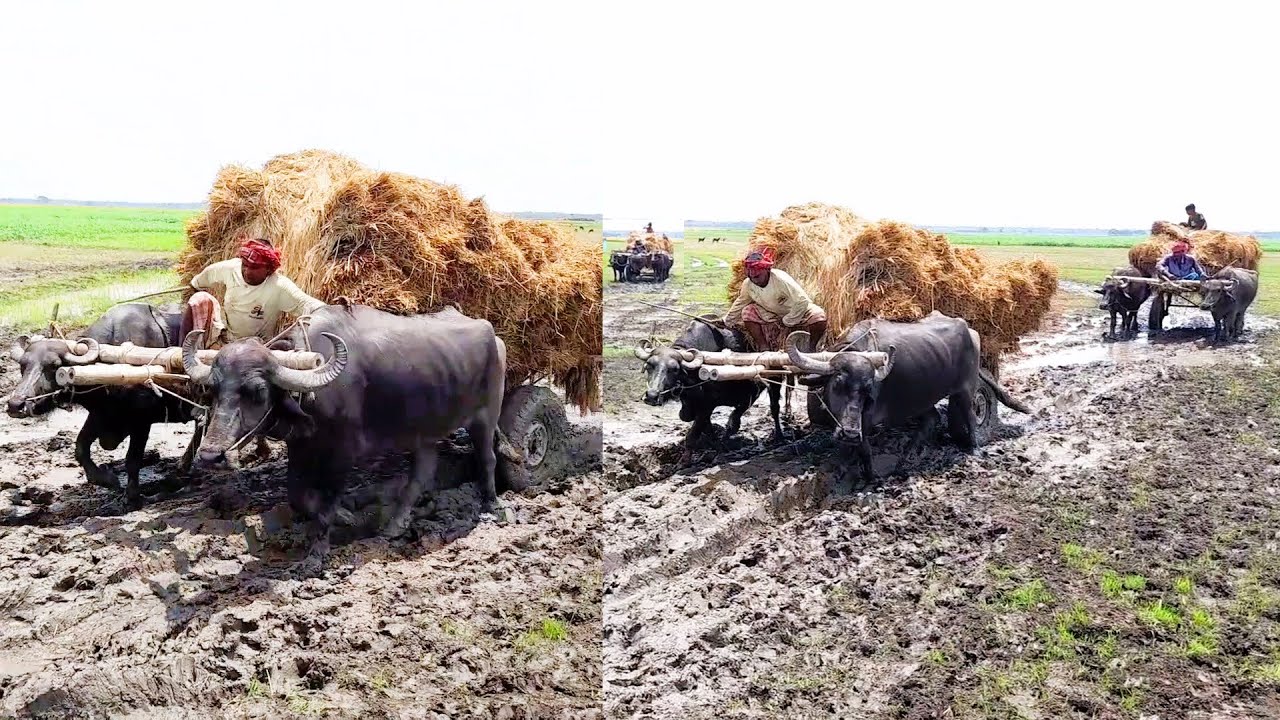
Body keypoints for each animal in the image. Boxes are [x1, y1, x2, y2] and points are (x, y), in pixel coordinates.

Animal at [7, 303, 201, 504]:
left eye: (54, 366)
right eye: (22, 365)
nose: (16, 405)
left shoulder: (141, 421)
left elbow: (132, 460)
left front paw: (132, 497)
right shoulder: (100, 414)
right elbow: (81, 447)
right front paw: (106, 479)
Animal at [181, 303, 507, 574]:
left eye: (259, 391)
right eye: (213, 389)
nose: (211, 455)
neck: (313, 392)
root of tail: (493, 335)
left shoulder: (342, 456)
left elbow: (327, 504)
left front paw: (317, 554)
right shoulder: (300, 448)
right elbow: (298, 497)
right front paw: (347, 517)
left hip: (486, 415)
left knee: (487, 457)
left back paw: (491, 504)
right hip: (424, 432)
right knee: (421, 474)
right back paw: (395, 525)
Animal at [788, 312, 1030, 485]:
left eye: (868, 390)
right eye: (837, 383)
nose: (849, 432)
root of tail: (969, 329)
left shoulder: (865, 419)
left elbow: (865, 448)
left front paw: (870, 477)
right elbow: (846, 448)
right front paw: (841, 468)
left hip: (966, 388)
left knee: (970, 416)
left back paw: (974, 447)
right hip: (921, 398)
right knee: (931, 418)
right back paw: (908, 456)